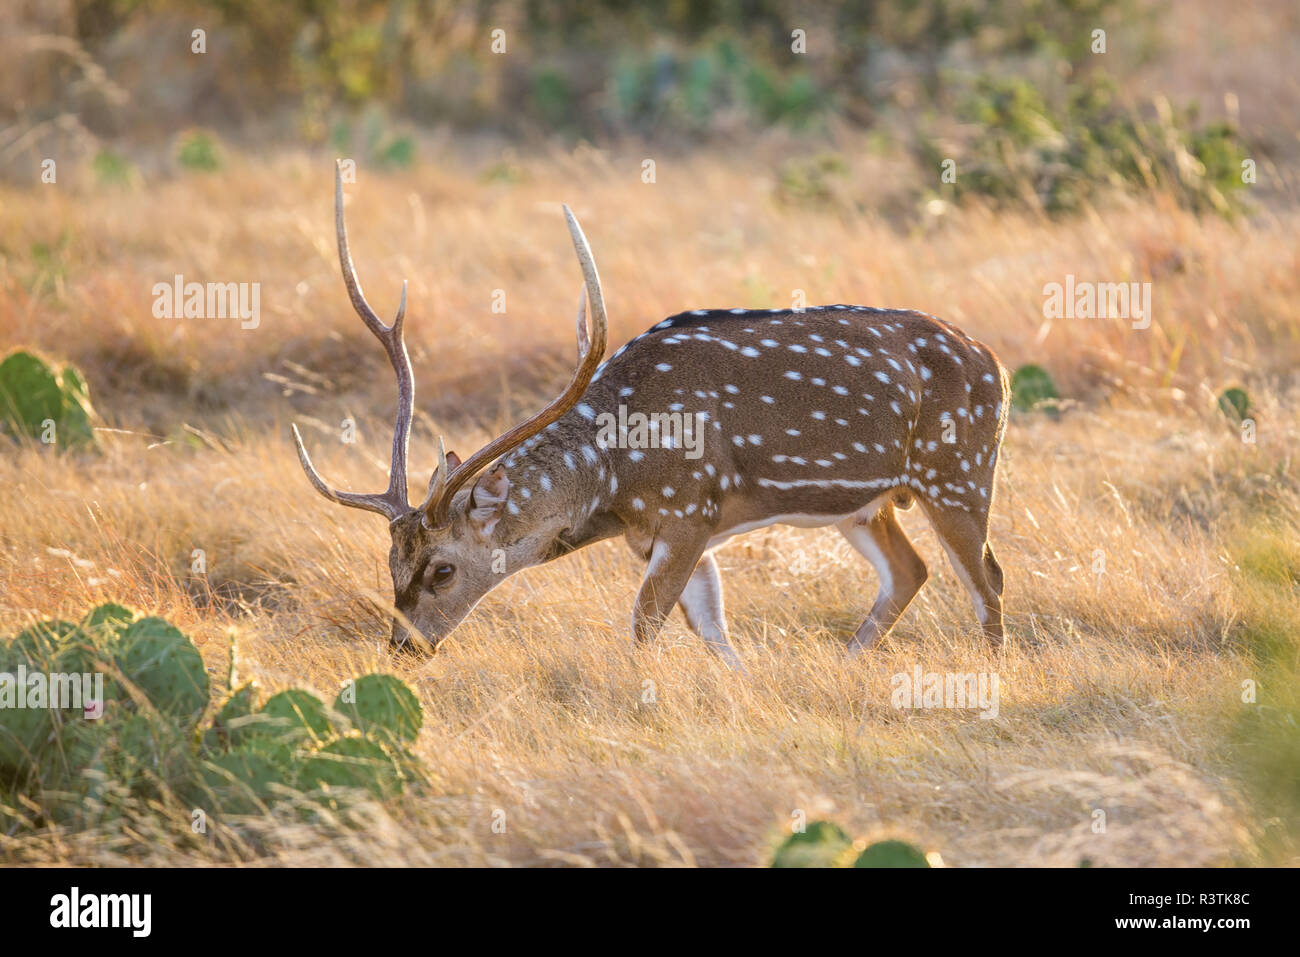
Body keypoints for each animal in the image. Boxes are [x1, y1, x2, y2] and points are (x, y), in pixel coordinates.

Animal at [292, 163, 1011, 669]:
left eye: (442, 568)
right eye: (389, 564)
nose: (403, 647)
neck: (615, 477)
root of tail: (995, 363)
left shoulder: (691, 508)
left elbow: (645, 624)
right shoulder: (658, 532)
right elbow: (710, 627)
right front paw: (741, 686)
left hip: (959, 472)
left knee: (986, 579)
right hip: (868, 504)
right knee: (910, 570)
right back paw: (847, 663)